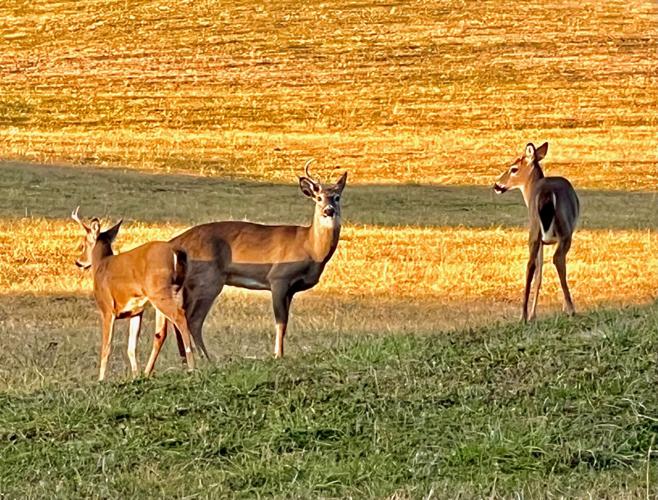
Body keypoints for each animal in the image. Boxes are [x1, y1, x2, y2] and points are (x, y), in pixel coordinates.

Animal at [72, 207, 196, 381]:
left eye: (83, 244)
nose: (78, 262)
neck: (101, 265)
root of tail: (175, 252)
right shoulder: (136, 312)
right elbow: (131, 347)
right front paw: (135, 376)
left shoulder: (107, 309)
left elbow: (106, 347)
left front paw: (101, 379)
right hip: (176, 290)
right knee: (163, 331)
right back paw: (152, 371)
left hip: (159, 292)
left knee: (180, 317)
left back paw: (192, 366)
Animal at [146, 159, 347, 371]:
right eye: (318, 197)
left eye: (337, 197)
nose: (328, 210)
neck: (310, 247)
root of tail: (176, 242)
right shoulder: (278, 278)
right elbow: (280, 322)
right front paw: (278, 355)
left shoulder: (291, 289)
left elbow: (285, 322)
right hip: (207, 279)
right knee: (192, 319)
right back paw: (207, 361)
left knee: (177, 320)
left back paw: (187, 362)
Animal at [493, 142, 580, 322]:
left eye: (513, 169)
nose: (496, 185)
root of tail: (546, 193)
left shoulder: (540, 240)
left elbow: (538, 275)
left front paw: (533, 314)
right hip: (565, 229)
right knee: (557, 259)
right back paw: (570, 309)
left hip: (534, 229)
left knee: (530, 265)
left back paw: (523, 316)